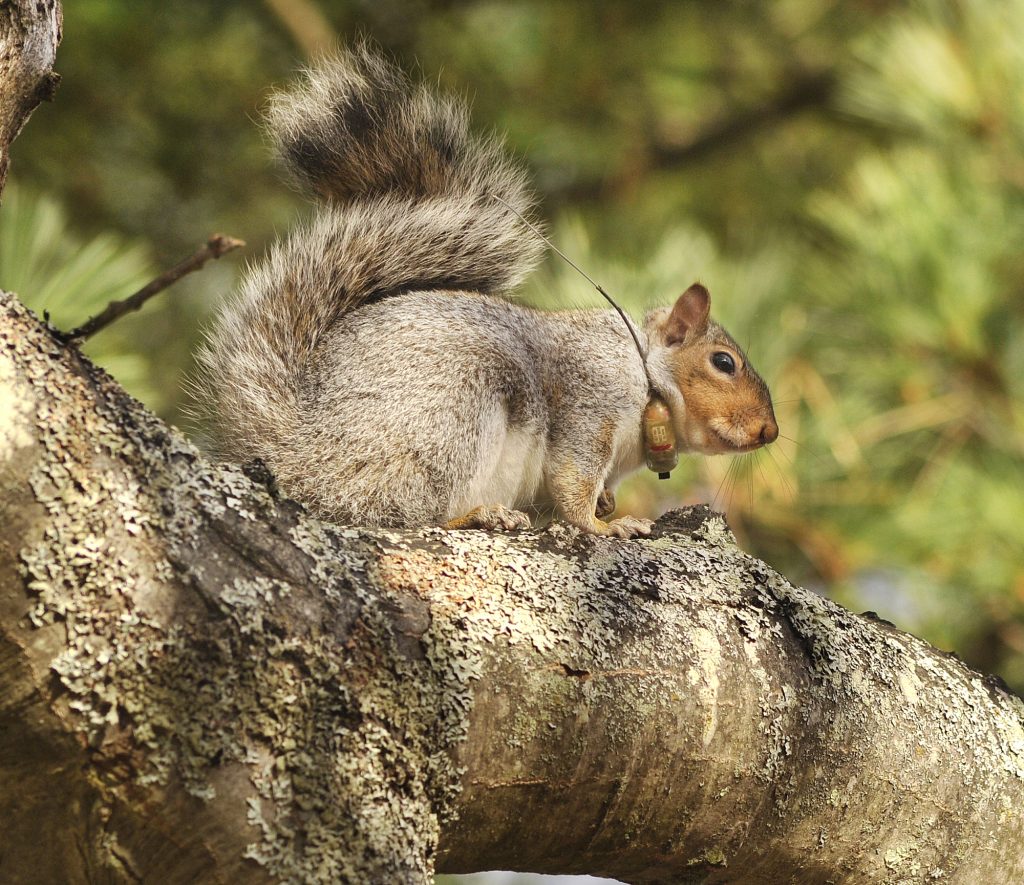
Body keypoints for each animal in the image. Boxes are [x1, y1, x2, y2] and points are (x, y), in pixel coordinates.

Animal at [195, 45, 778, 539]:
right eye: (724, 362)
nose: (769, 432)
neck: (642, 370)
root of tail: (294, 449)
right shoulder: (592, 401)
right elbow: (572, 479)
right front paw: (602, 525)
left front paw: (608, 506)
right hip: (445, 416)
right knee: (400, 510)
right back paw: (478, 515)